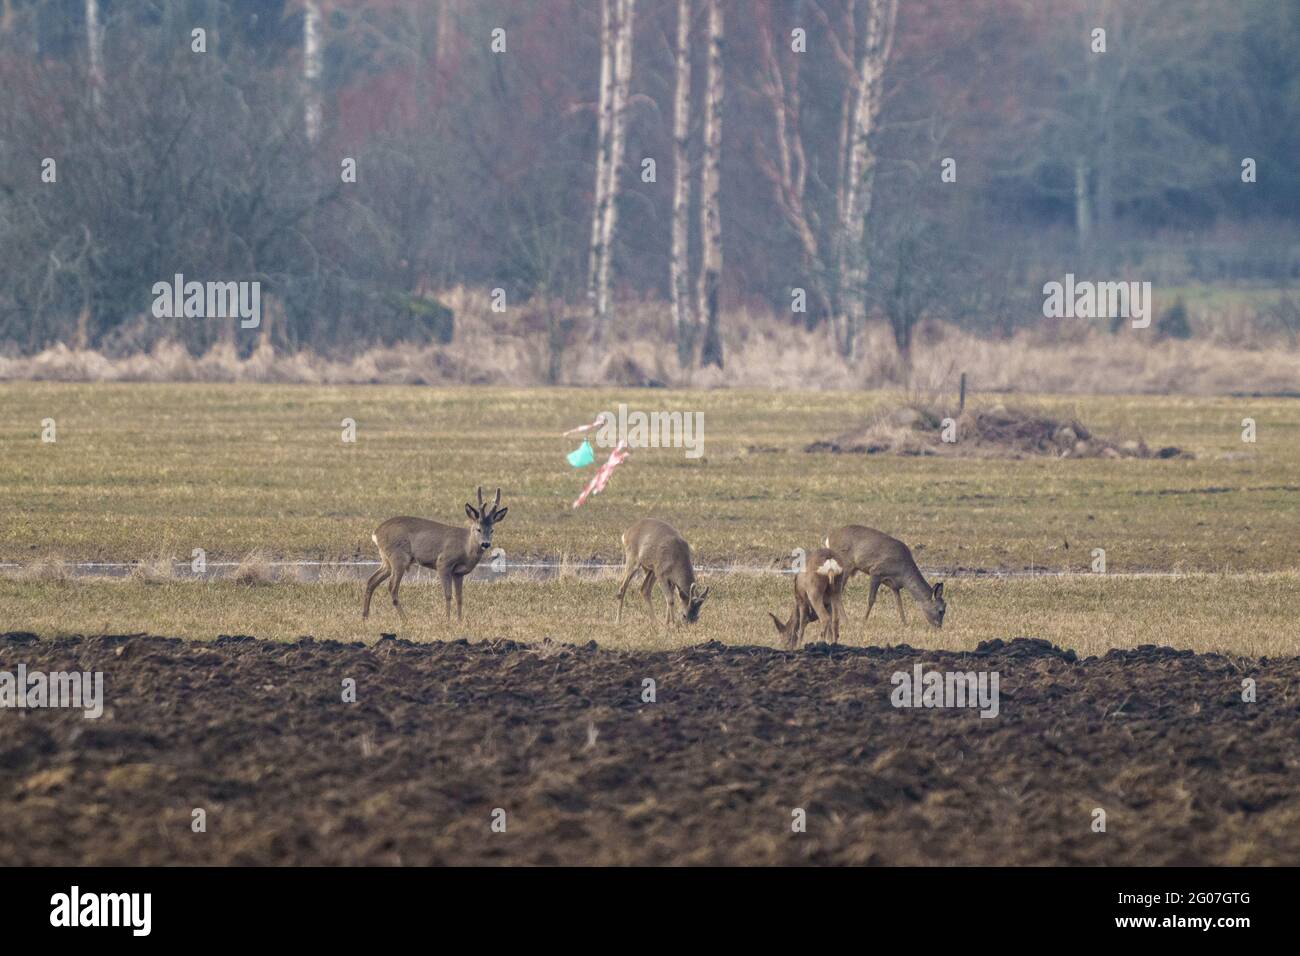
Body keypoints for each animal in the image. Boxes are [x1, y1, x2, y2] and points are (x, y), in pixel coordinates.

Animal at [362, 486, 507, 623]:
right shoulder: (443, 563)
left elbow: (459, 597)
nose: (485, 544)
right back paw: (405, 619)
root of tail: (376, 533)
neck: (465, 547)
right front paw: (447, 620)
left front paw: (459, 621)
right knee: (392, 587)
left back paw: (365, 616)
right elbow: (448, 594)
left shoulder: (458, 573)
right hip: (399, 557)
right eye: (478, 529)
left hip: (386, 560)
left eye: (492, 530)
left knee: (371, 581)